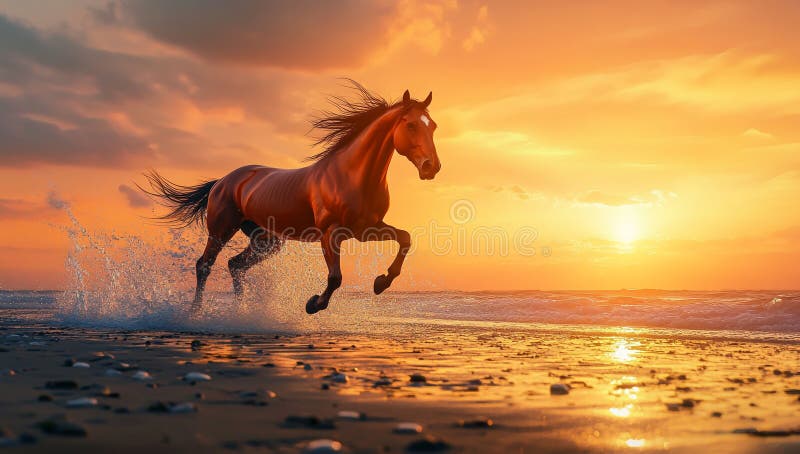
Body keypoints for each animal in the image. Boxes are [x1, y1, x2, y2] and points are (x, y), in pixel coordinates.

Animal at [141, 83, 441, 315]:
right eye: (411, 125)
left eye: (433, 126)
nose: (431, 167)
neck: (351, 175)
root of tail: (223, 181)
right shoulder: (331, 233)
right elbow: (335, 277)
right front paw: (313, 304)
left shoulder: (366, 229)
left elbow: (405, 239)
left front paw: (381, 282)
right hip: (221, 229)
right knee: (205, 265)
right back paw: (196, 312)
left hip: (267, 241)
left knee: (235, 265)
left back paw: (242, 311)